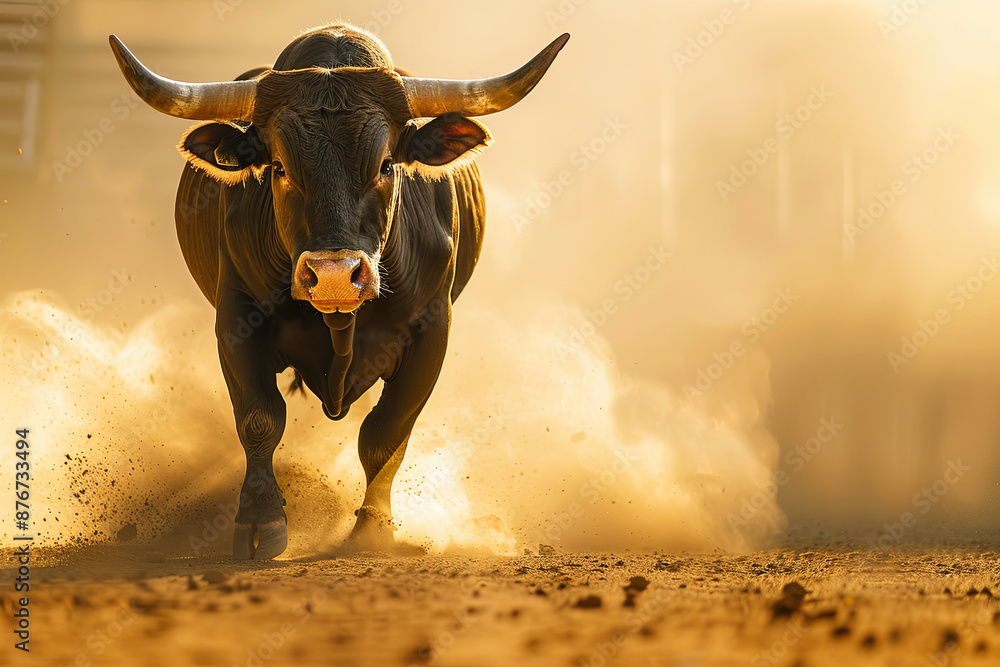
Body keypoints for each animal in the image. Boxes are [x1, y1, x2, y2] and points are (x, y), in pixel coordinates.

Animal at [108, 23, 568, 559]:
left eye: (387, 165)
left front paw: (373, 528)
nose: (333, 274)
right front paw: (261, 520)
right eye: (279, 167)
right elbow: (260, 417)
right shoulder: (235, 320)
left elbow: (386, 432)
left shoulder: (433, 331)